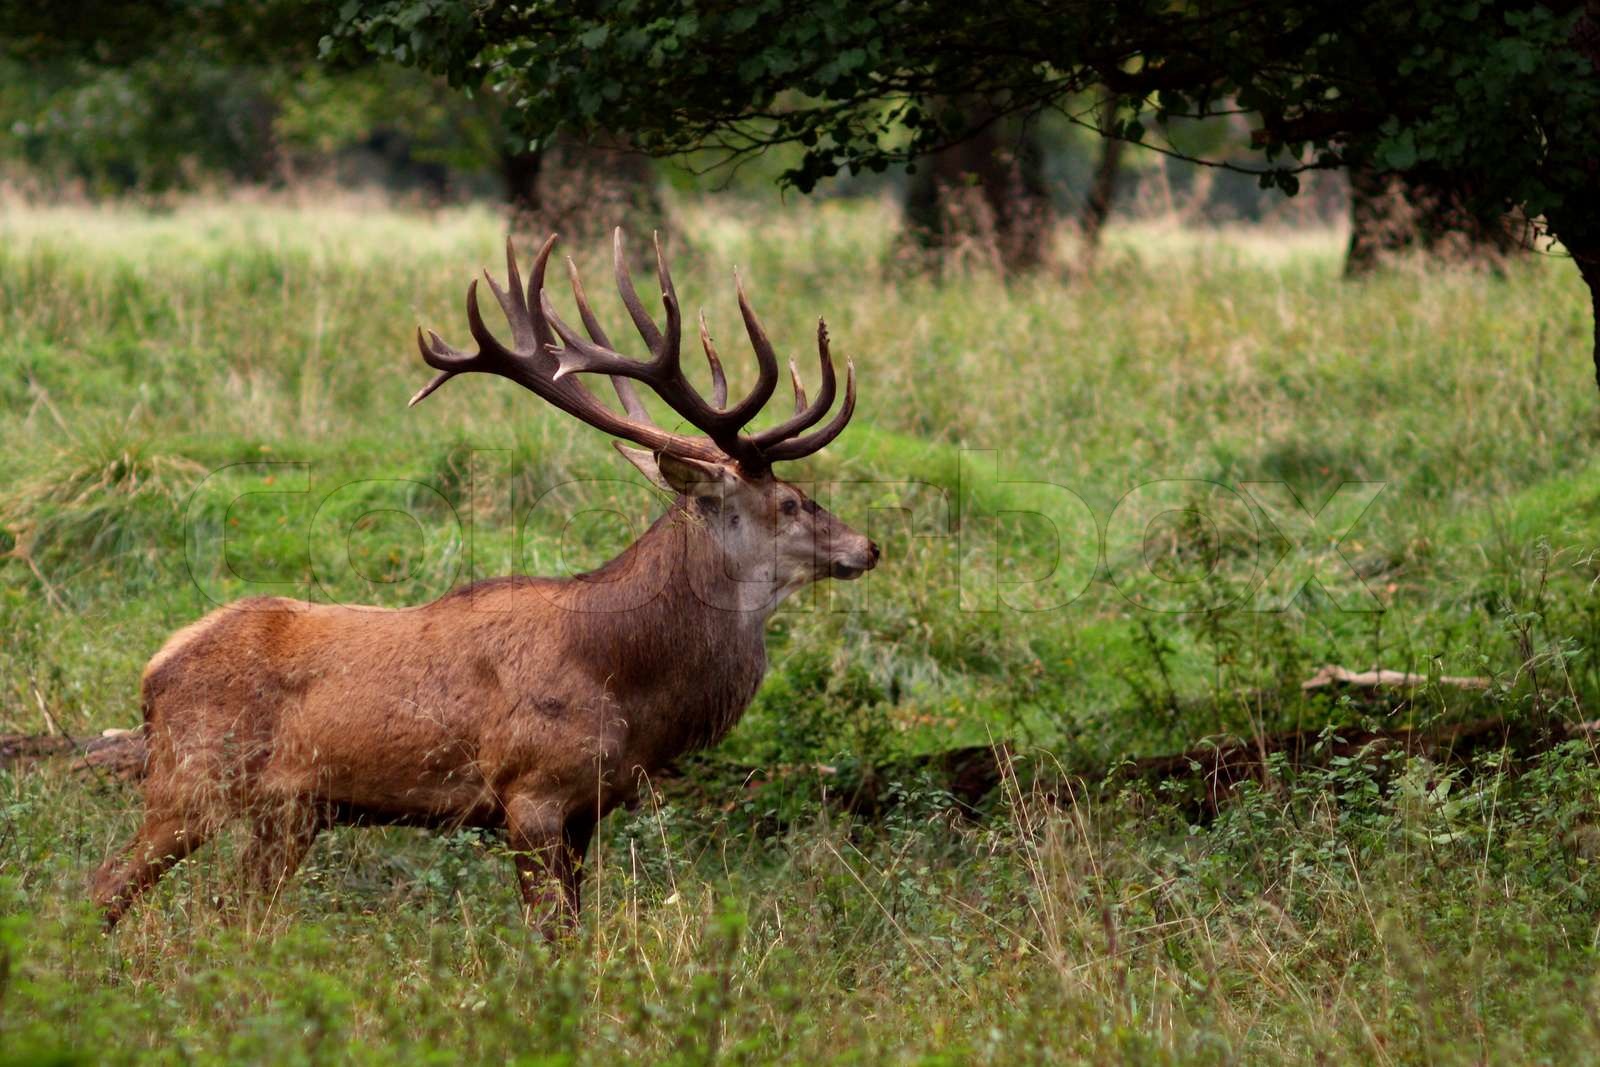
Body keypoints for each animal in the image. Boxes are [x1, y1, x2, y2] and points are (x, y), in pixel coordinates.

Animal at [91, 230, 879, 935]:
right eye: (792, 502)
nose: (867, 546)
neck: (625, 679)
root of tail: (155, 669)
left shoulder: (589, 808)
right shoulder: (529, 793)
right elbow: (548, 934)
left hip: (289, 812)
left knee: (237, 913)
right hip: (190, 780)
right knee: (104, 885)